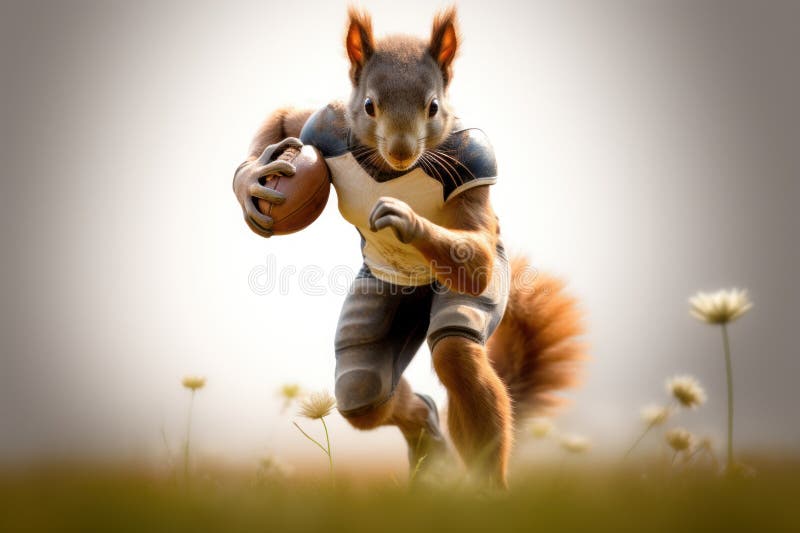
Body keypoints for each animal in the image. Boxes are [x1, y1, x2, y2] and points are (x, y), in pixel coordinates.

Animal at [233, 7, 585, 489]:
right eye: (369, 106)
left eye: (432, 107)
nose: (401, 151)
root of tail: (420, 289)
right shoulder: (325, 123)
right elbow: (286, 118)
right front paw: (252, 181)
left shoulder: (476, 160)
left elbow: (474, 253)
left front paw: (405, 217)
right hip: (379, 302)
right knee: (365, 388)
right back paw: (430, 452)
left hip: (479, 293)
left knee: (456, 353)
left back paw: (484, 488)